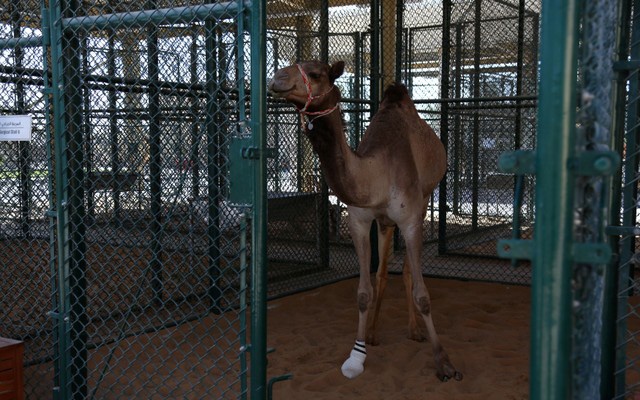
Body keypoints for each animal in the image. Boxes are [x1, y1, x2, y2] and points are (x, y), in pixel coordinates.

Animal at [268, 60, 462, 382]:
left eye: (317, 74)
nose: (277, 78)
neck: (376, 174)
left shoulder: (410, 219)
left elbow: (422, 293)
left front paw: (444, 362)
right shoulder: (360, 220)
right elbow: (362, 292)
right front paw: (357, 354)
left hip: (425, 199)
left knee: (406, 269)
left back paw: (414, 330)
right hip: (385, 222)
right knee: (382, 271)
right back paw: (373, 332)